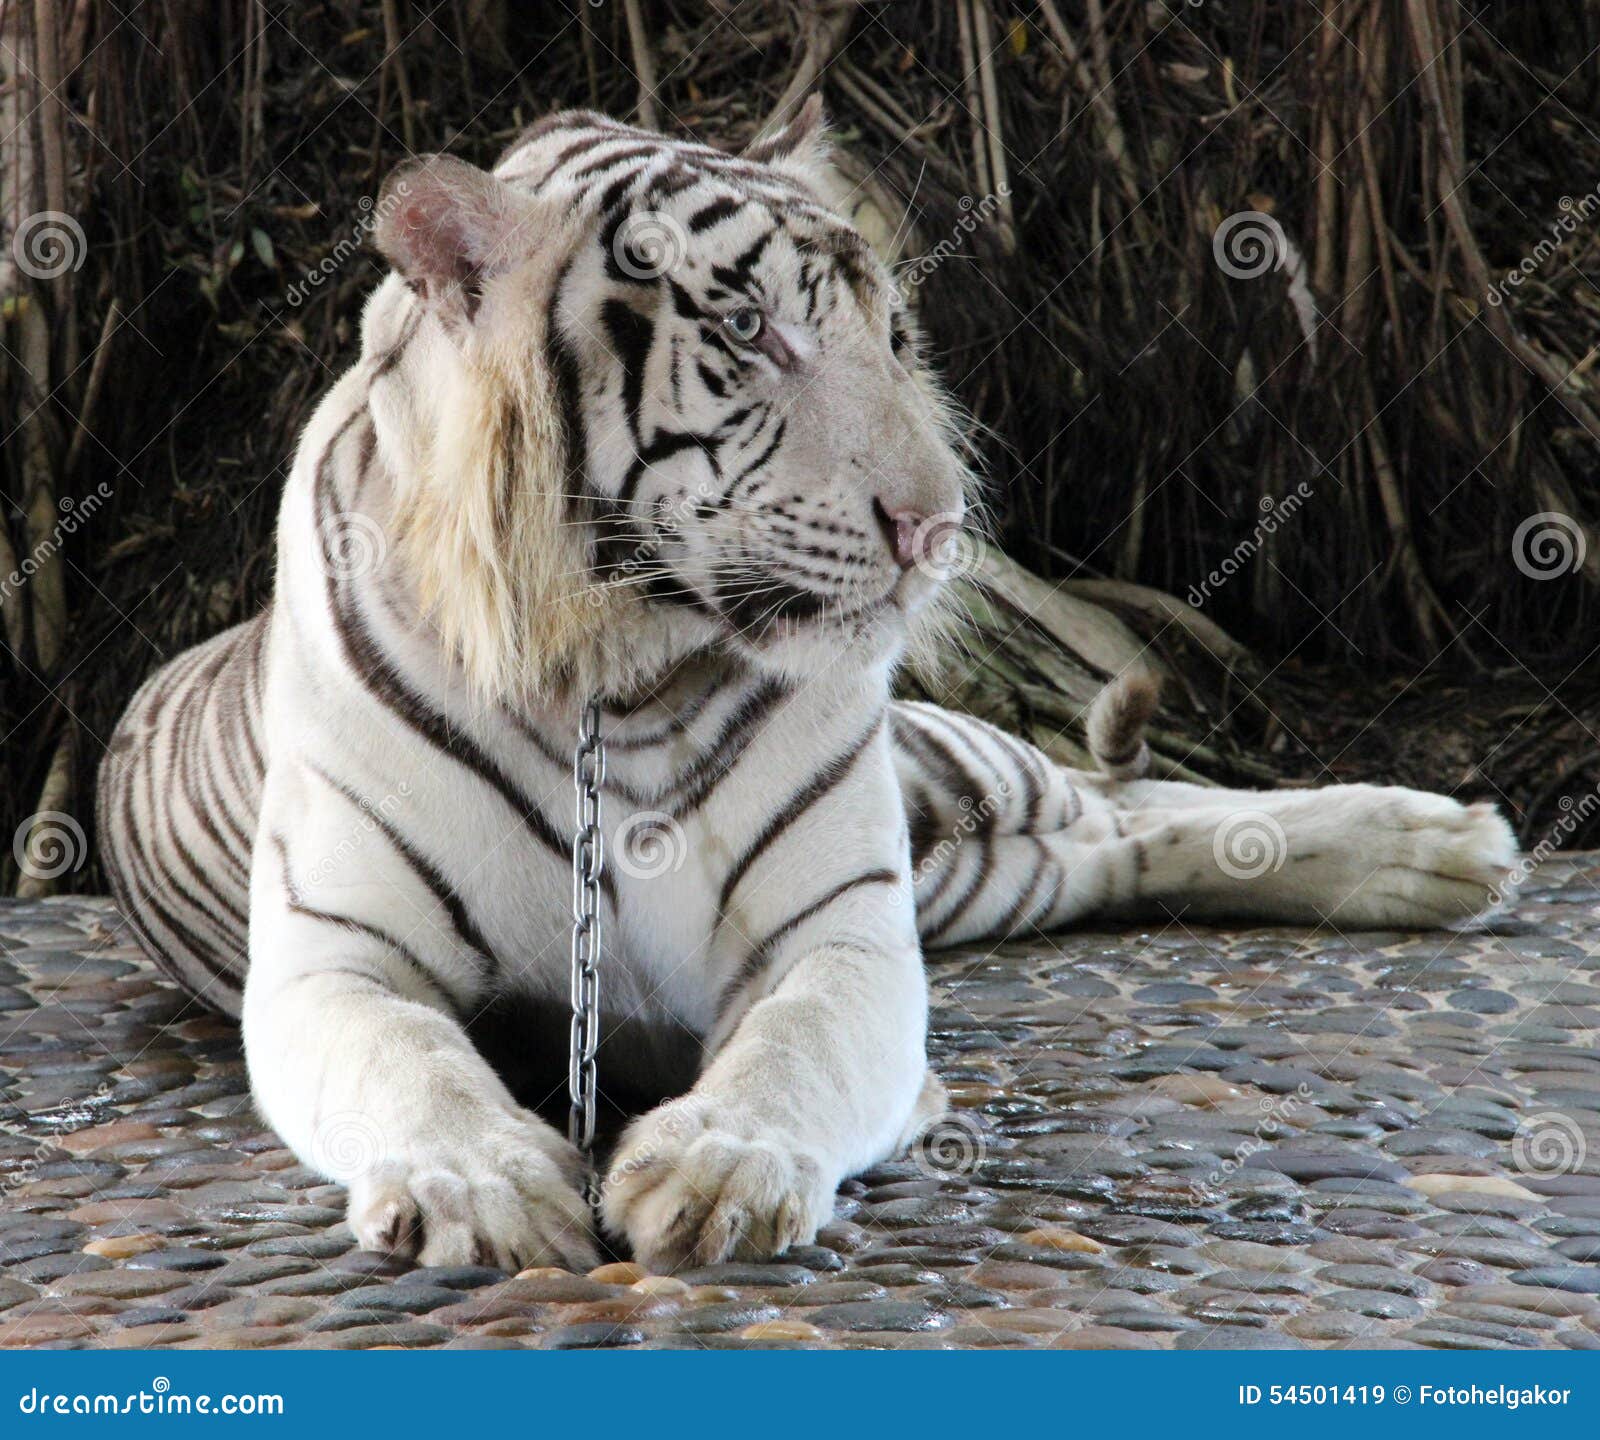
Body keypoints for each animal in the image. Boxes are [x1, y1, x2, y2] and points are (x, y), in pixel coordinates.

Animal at [98, 99, 1518, 1274]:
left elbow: (799, 1049)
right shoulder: (338, 958)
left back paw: (1439, 848)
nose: (939, 526)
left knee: (1132, 802)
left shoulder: (842, 925)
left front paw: (721, 1169)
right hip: (978, 873)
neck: (620, 667)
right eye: (747, 331)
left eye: (891, 336)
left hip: (950, 794)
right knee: (1115, 842)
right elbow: (413, 1069)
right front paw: (482, 1189)